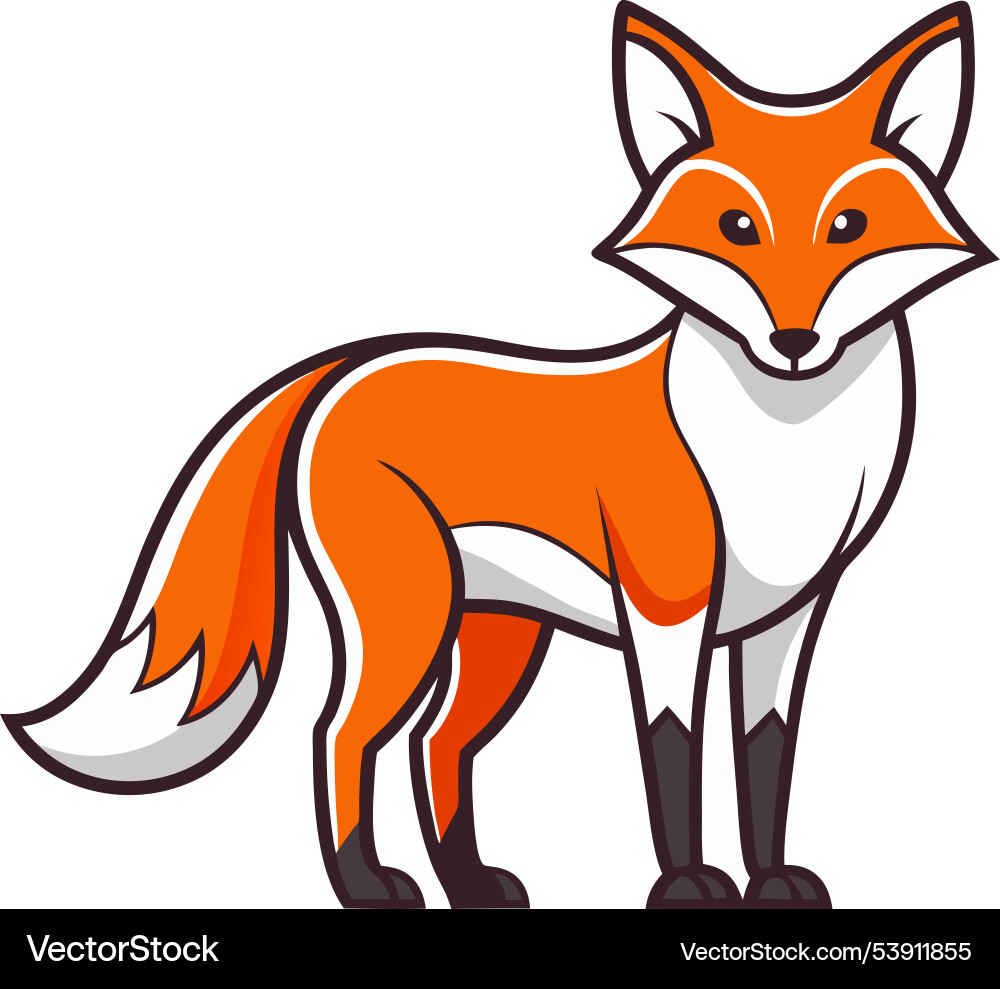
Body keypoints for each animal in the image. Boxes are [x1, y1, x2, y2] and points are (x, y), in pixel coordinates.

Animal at [3, 2, 993, 909]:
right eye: (737, 228)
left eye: (850, 225)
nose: (794, 341)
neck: (784, 451)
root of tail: (341, 370)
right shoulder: (667, 608)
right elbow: (672, 749)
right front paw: (685, 884)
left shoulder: (788, 618)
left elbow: (767, 759)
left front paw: (773, 880)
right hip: (409, 619)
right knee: (342, 735)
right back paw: (369, 884)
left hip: (497, 634)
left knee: (434, 745)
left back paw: (471, 883)